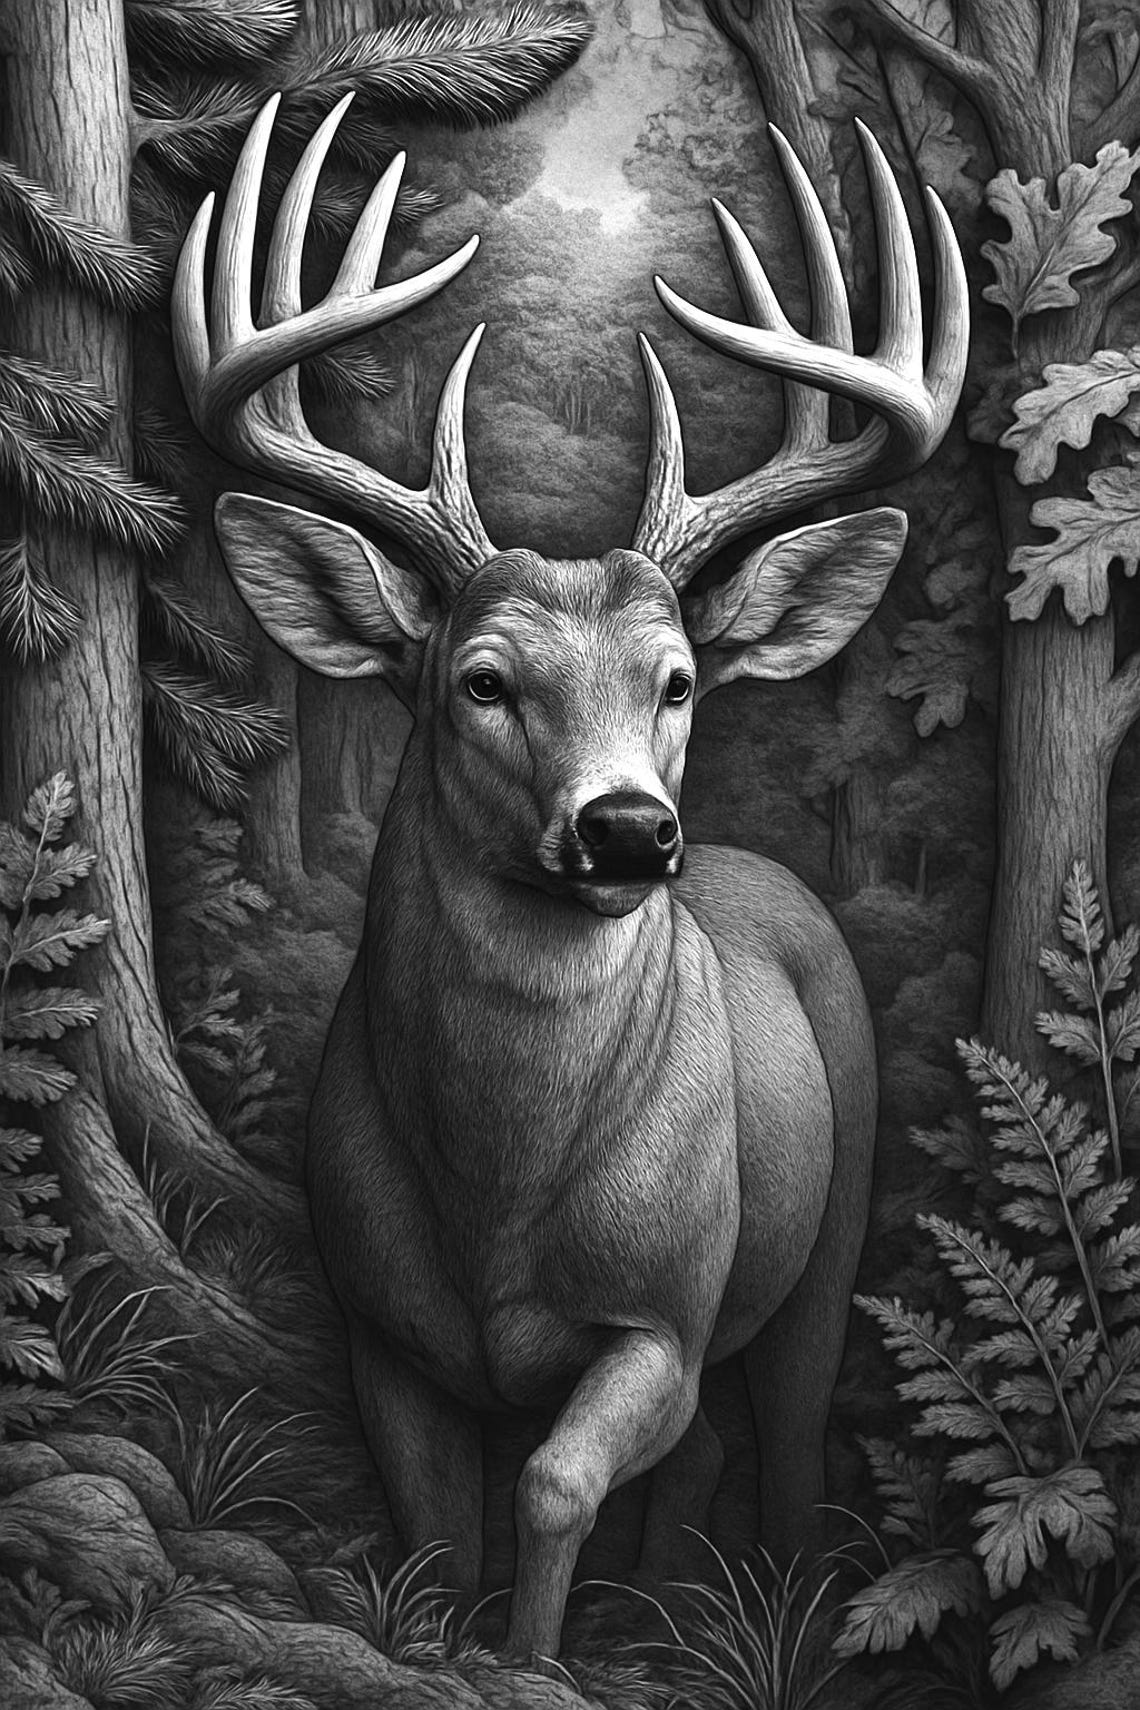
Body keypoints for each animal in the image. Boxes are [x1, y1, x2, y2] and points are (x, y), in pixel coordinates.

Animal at [172, 92, 968, 1661]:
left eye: (678, 681)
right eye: (480, 681)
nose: (626, 831)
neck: (499, 1196)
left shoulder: (667, 1311)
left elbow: (549, 1482)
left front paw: (533, 1659)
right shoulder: (377, 1325)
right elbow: (432, 1524)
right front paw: (459, 1645)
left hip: (834, 1217)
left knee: (787, 1434)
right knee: (714, 1453)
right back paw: (661, 1610)